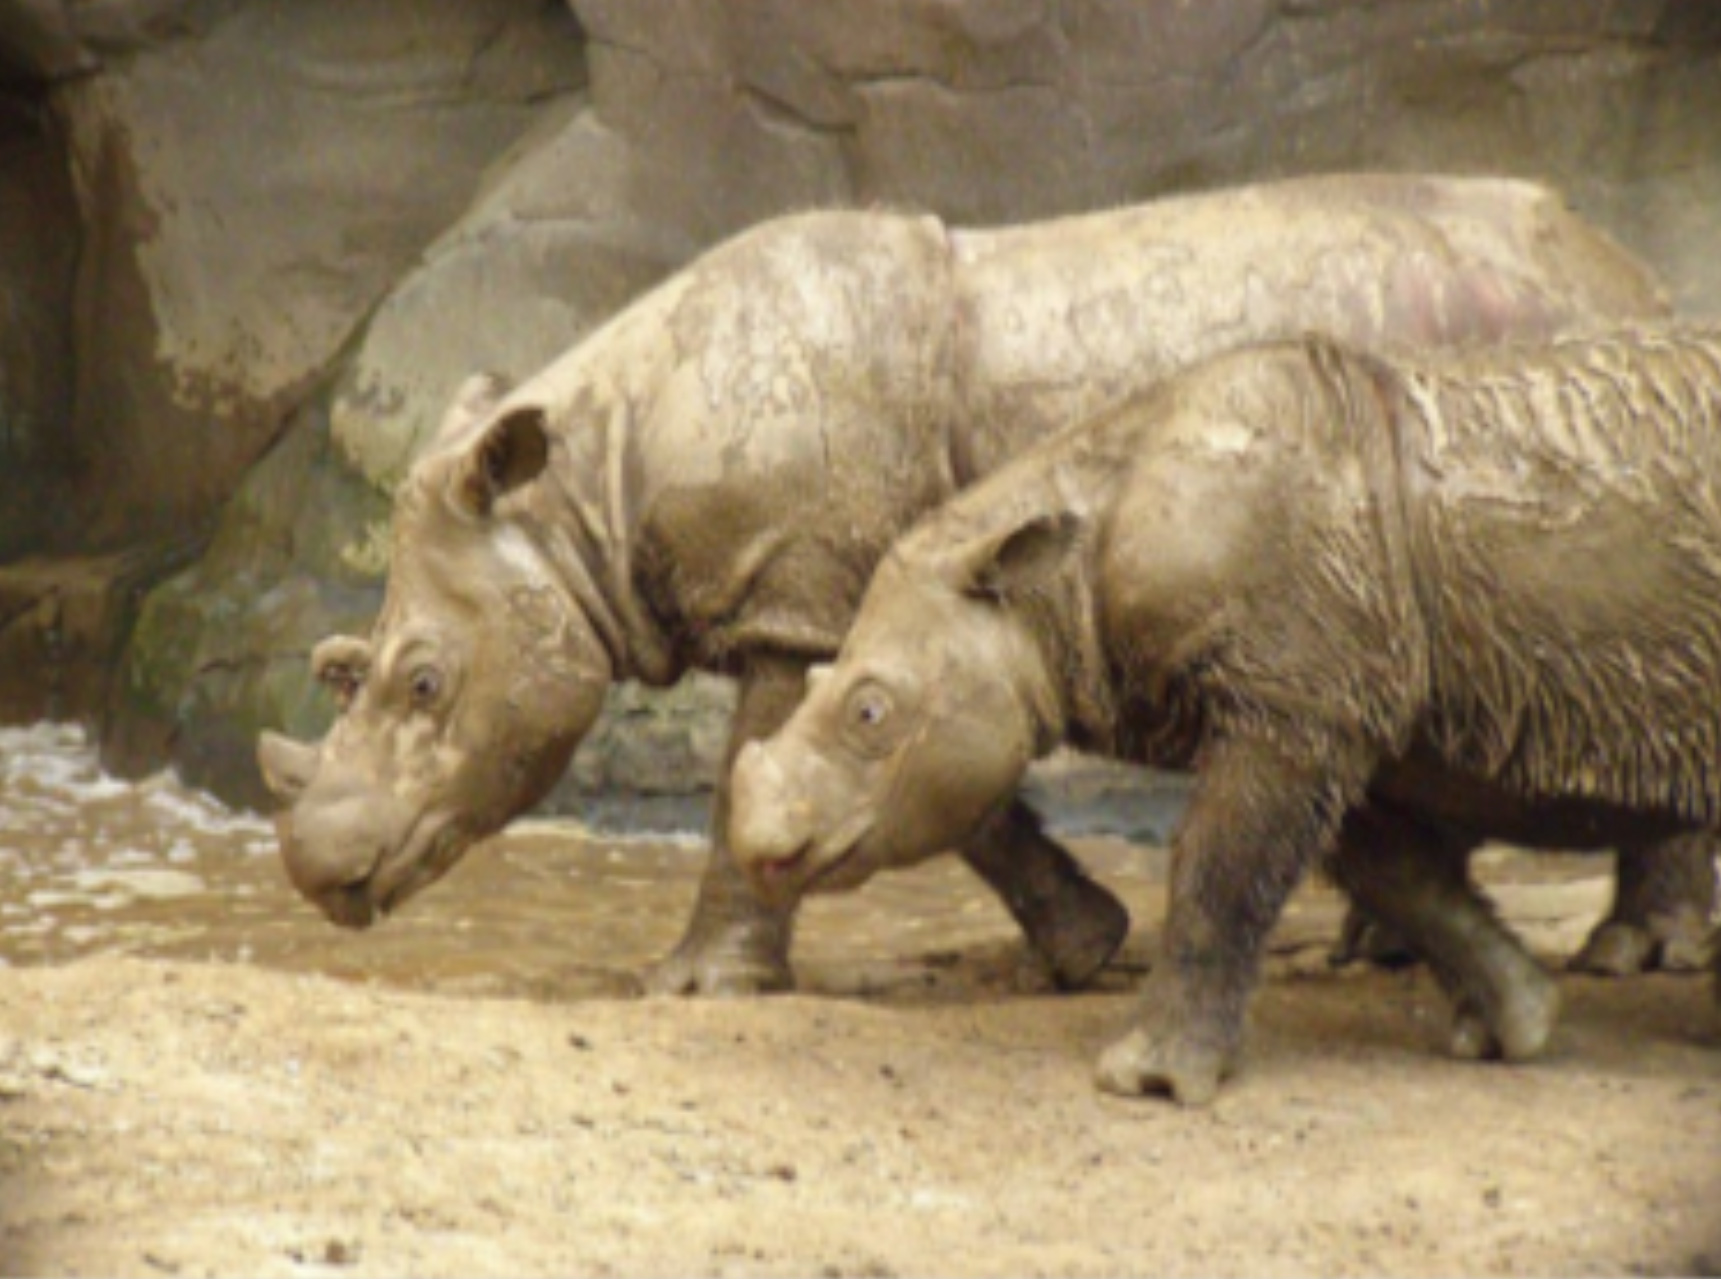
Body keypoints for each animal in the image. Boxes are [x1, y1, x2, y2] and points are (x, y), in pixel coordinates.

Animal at [256, 173, 1711, 994]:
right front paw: (1081, 945)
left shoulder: (807, 592)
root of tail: (1631, 263)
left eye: (421, 681)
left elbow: (765, 773)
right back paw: (1382, 947)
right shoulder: (903, 598)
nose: (320, 876)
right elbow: (947, 787)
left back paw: (1634, 956)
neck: (583, 499)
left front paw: (694, 984)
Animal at [728, 327, 1721, 1103]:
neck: (1048, 583)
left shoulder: (1289, 701)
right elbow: (1392, 868)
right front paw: (1513, 1024)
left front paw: (1146, 1080)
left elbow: (1219, 864)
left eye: (869, 711)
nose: (758, 848)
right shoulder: (1335, 697)